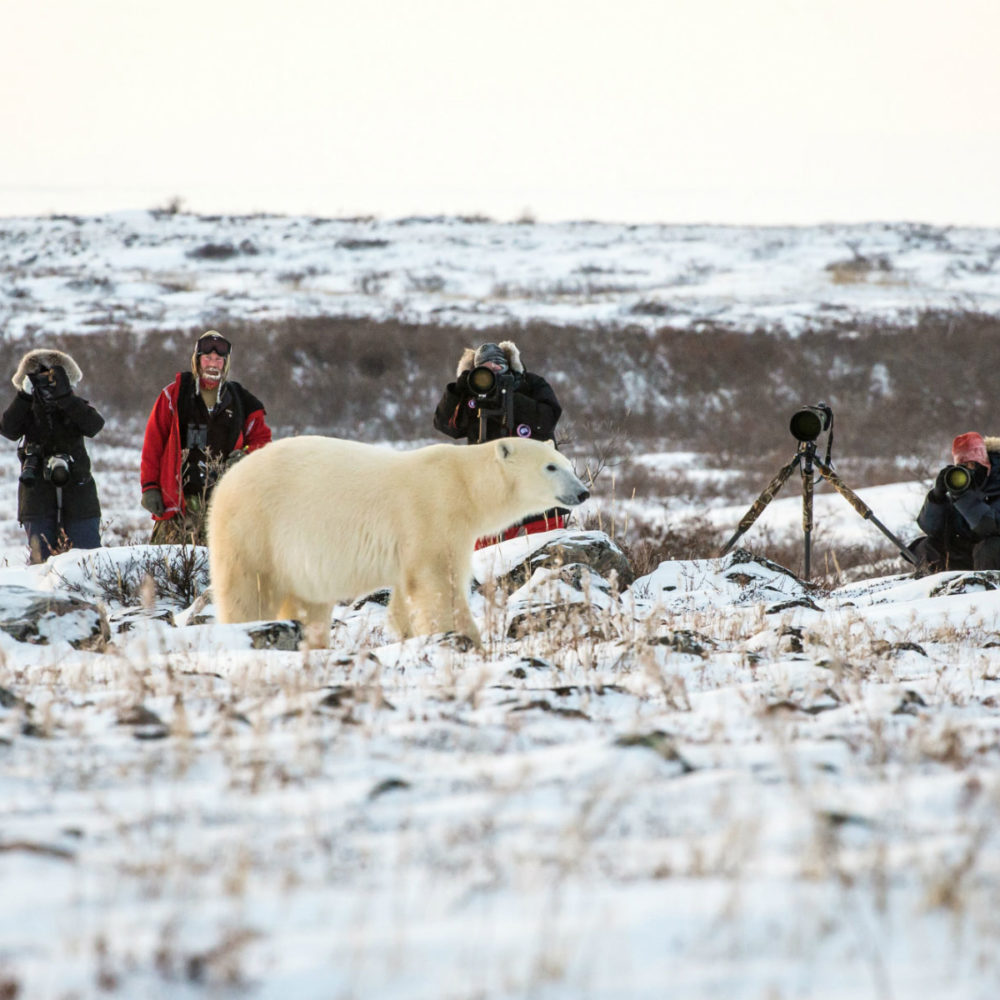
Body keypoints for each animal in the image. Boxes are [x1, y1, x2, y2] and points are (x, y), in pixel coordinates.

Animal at [207, 435, 590, 647]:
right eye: (550, 467)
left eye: (568, 463)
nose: (583, 492)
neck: (465, 483)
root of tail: (226, 480)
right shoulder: (432, 514)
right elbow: (438, 584)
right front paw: (467, 640)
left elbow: (407, 594)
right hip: (255, 527)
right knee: (248, 591)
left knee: (307, 603)